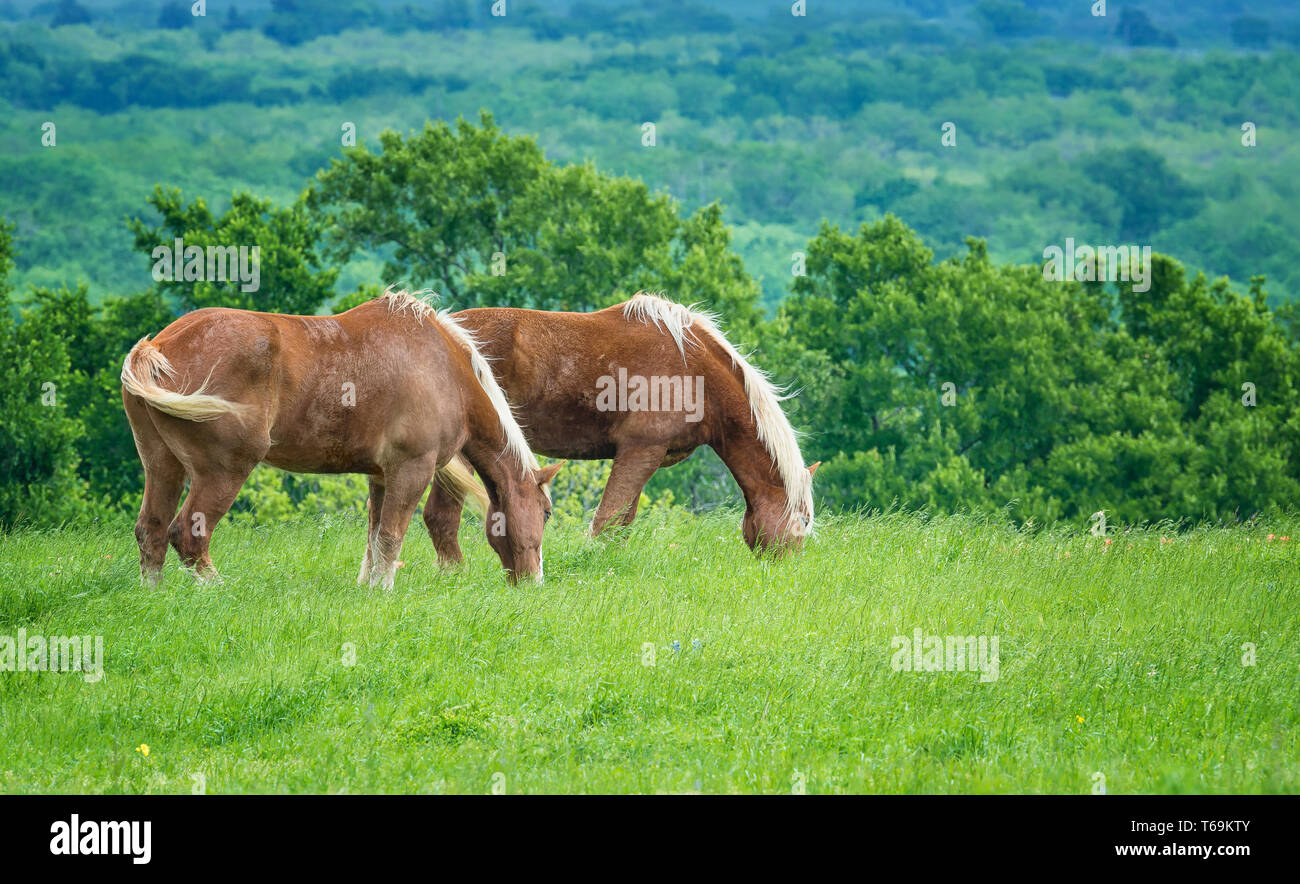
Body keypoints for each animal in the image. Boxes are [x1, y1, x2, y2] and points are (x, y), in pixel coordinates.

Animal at [120, 289, 562, 588]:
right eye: (545, 514)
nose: (533, 582)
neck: (443, 367)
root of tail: (157, 347)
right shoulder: (411, 470)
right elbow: (391, 537)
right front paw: (383, 592)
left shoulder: (381, 477)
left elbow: (375, 539)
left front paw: (368, 588)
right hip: (224, 471)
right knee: (188, 536)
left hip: (163, 467)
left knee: (151, 531)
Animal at [424, 292, 817, 564]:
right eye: (804, 521)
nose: (792, 569)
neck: (696, 372)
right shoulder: (641, 450)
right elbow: (607, 522)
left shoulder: (643, 457)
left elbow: (621, 523)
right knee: (441, 518)